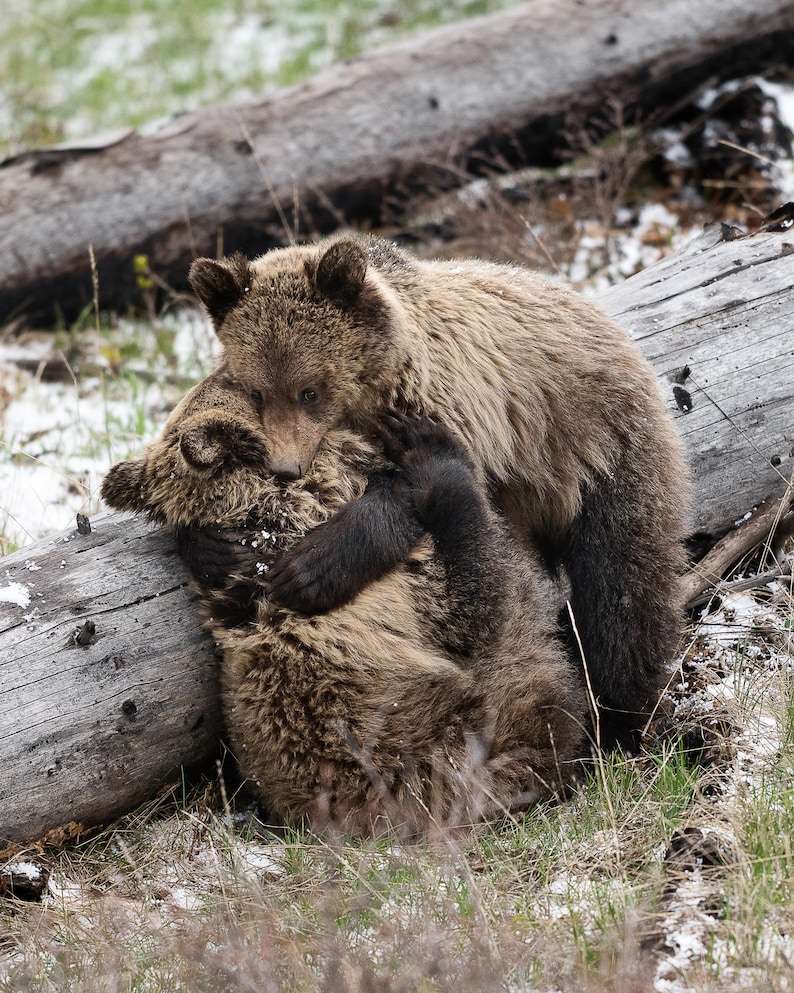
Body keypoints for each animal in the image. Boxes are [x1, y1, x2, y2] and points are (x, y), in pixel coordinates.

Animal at [186, 234, 690, 750]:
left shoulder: (443, 409)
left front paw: (312, 567)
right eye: (258, 392)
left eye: (310, 390)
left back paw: (621, 716)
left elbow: (417, 494)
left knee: (622, 587)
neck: (370, 397)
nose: (285, 467)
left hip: (594, 444)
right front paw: (218, 548)